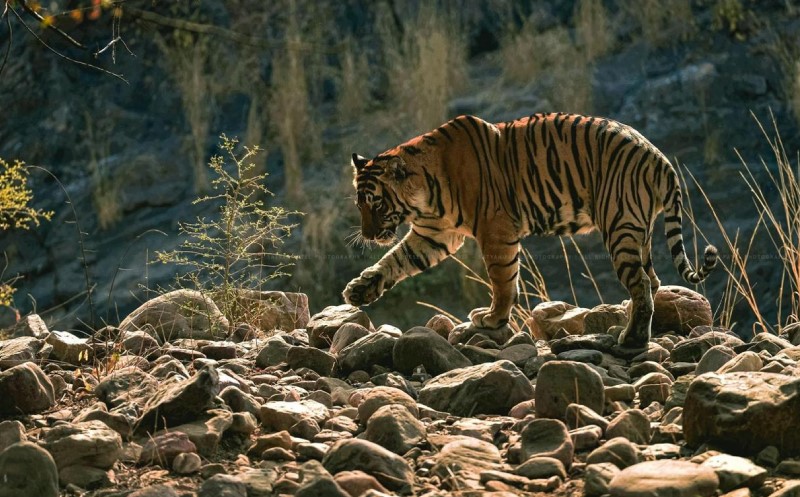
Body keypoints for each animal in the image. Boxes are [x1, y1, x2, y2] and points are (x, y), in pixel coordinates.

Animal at [342, 113, 717, 348]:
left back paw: (633, 338)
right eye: (360, 205)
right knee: (651, 281)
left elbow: (503, 280)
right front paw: (360, 290)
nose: (369, 234)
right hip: (639, 232)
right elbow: (396, 260)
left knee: (640, 281)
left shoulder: (495, 230)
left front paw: (492, 319)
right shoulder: (435, 234)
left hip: (620, 225)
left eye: (377, 204)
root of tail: (660, 158)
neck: (422, 195)